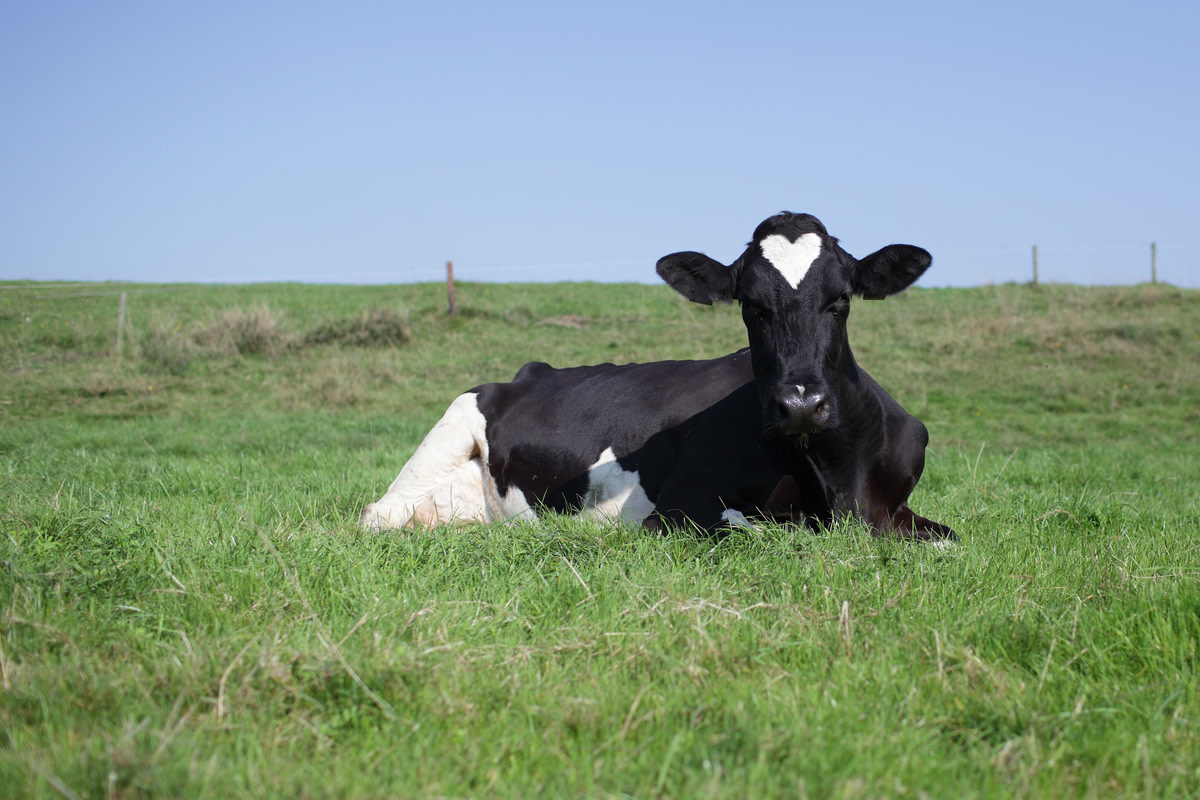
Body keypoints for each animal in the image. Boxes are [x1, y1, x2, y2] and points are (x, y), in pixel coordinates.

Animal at [361, 212, 955, 542]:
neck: (839, 482)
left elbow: (950, 538)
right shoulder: (680, 511)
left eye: (841, 301)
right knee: (376, 514)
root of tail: (530, 371)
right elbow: (765, 532)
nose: (800, 405)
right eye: (751, 307)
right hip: (447, 431)